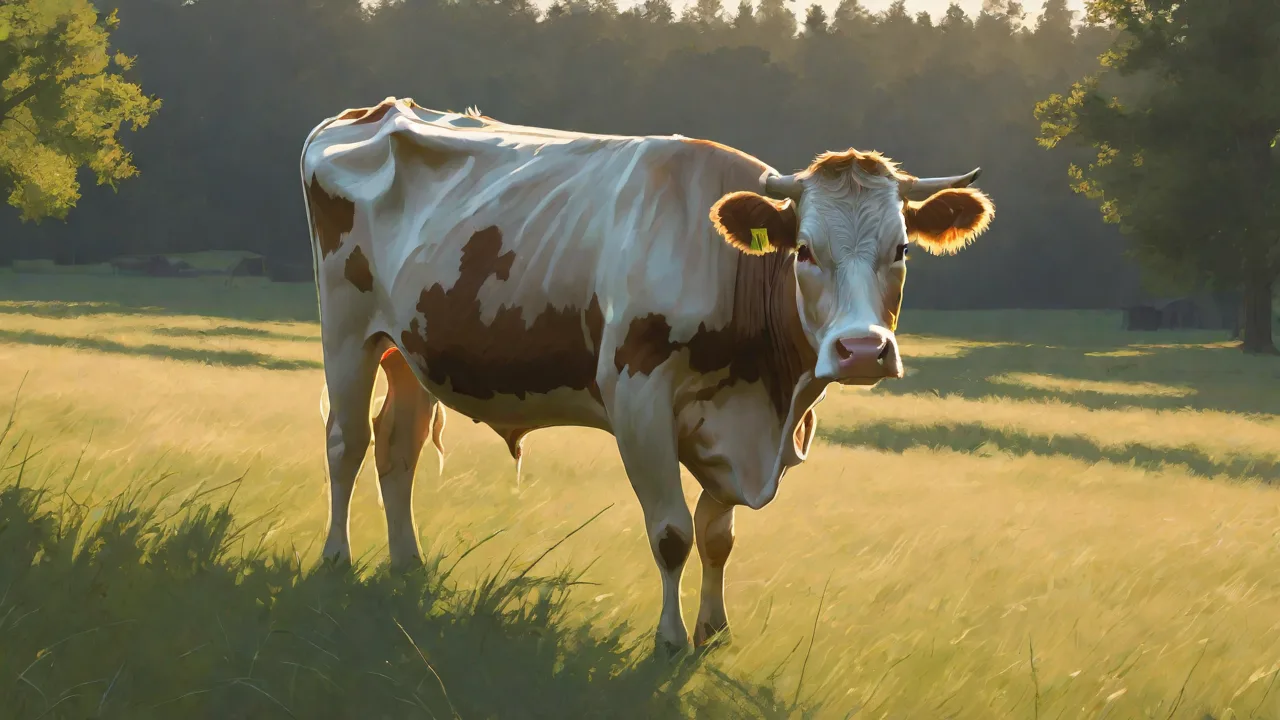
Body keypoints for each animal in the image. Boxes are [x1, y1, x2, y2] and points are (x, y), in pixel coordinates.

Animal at [300, 97, 994, 655]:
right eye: (804, 250)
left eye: (900, 250)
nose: (861, 350)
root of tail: (376, 110)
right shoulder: (637, 400)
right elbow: (672, 534)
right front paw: (671, 640)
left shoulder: (730, 428)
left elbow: (717, 537)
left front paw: (715, 631)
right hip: (347, 328)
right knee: (345, 442)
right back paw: (336, 558)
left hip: (408, 347)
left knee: (398, 447)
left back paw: (408, 566)